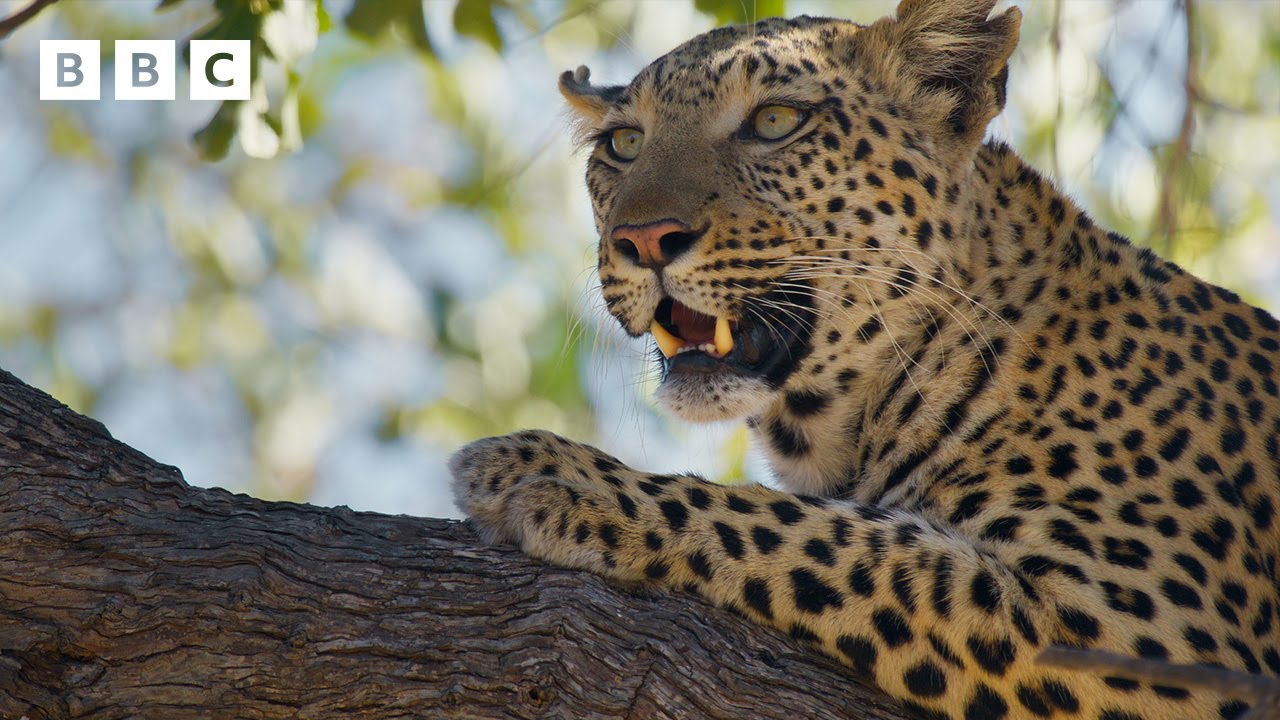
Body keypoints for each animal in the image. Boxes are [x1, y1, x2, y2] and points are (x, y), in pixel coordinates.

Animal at [449, 1, 1280, 717]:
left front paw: (560, 477)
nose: (643, 239)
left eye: (775, 121)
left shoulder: (1148, 632)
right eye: (622, 145)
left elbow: (837, 535)